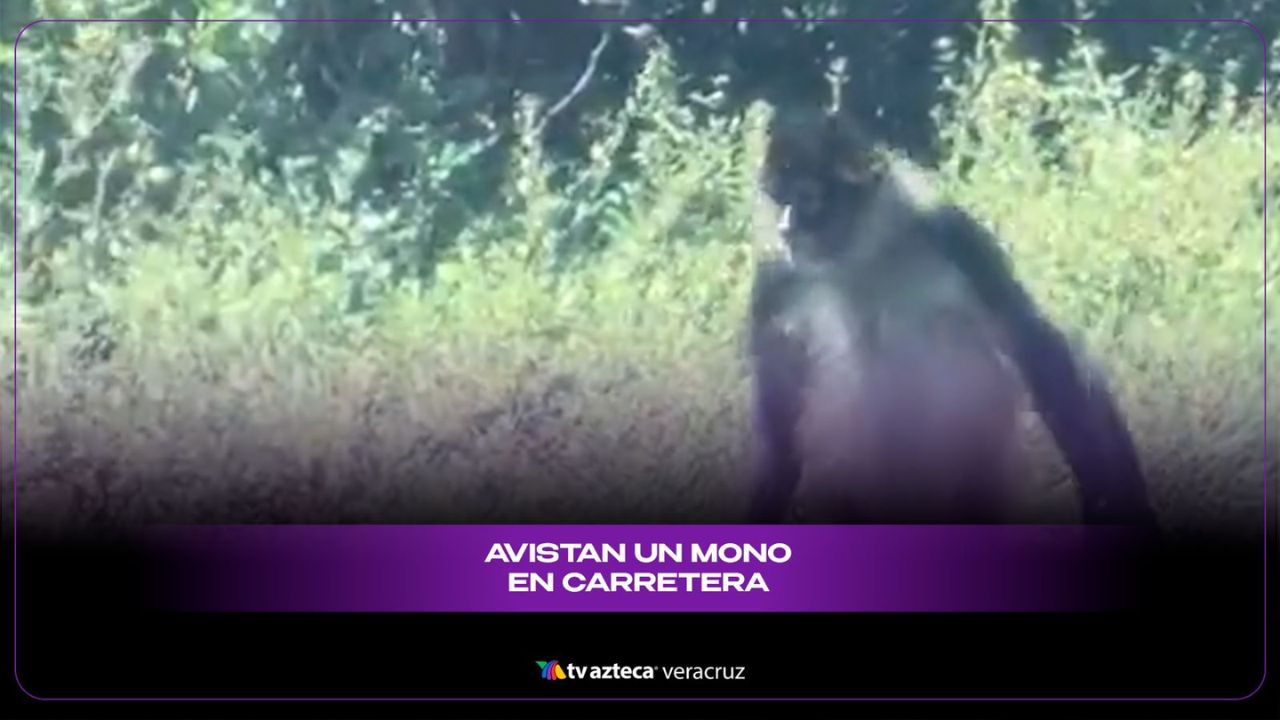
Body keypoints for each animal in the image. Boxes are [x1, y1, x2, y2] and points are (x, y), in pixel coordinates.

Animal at [746, 108, 1157, 528]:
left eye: (806, 198)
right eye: (777, 197)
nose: (785, 228)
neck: (862, 258)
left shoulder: (953, 233)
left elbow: (1043, 351)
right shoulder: (774, 278)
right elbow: (780, 439)